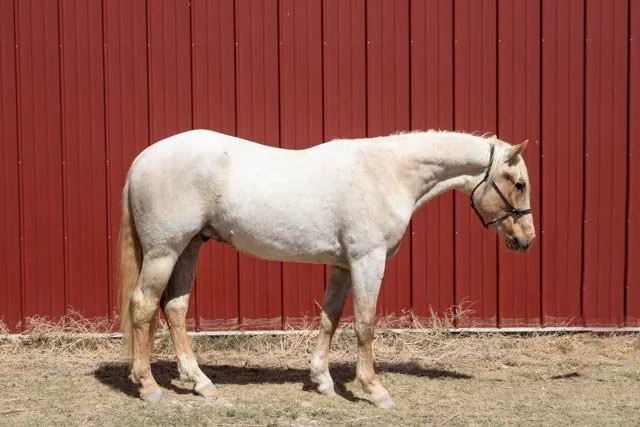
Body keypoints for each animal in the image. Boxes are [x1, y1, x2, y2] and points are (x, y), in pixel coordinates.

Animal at [118, 129, 535, 408]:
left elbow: (329, 320)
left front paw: (322, 381)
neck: (387, 173)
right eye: (518, 184)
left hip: (189, 247)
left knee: (174, 309)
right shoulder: (367, 260)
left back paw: (199, 382)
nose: (526, 240)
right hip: (164, 250)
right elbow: (365, 324)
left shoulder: (342, 266)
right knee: (143, 306)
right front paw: (374, 390)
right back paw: (148, 386)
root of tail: (143, 158)